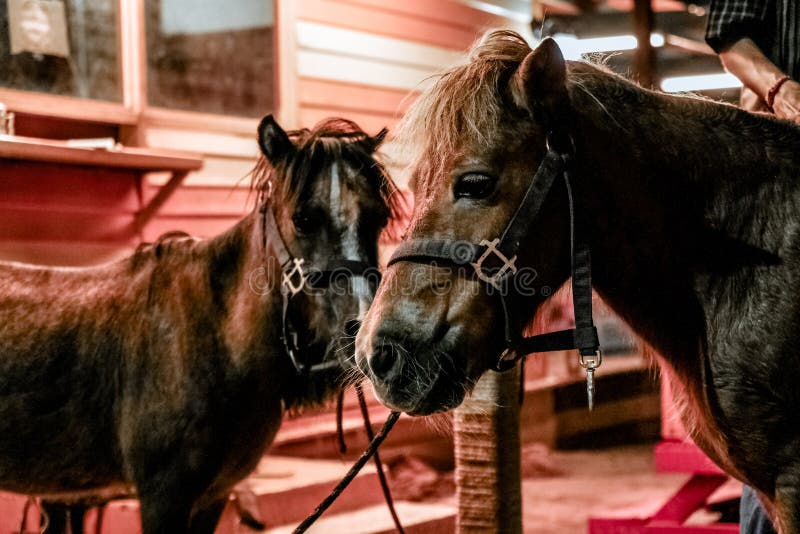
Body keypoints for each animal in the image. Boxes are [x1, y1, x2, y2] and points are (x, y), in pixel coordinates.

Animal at [0, 115, 399, 533]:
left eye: (380, 218)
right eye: (303, 219)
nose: (366, 335)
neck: (214, 342)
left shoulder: (213, 496)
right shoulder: (163, 498)